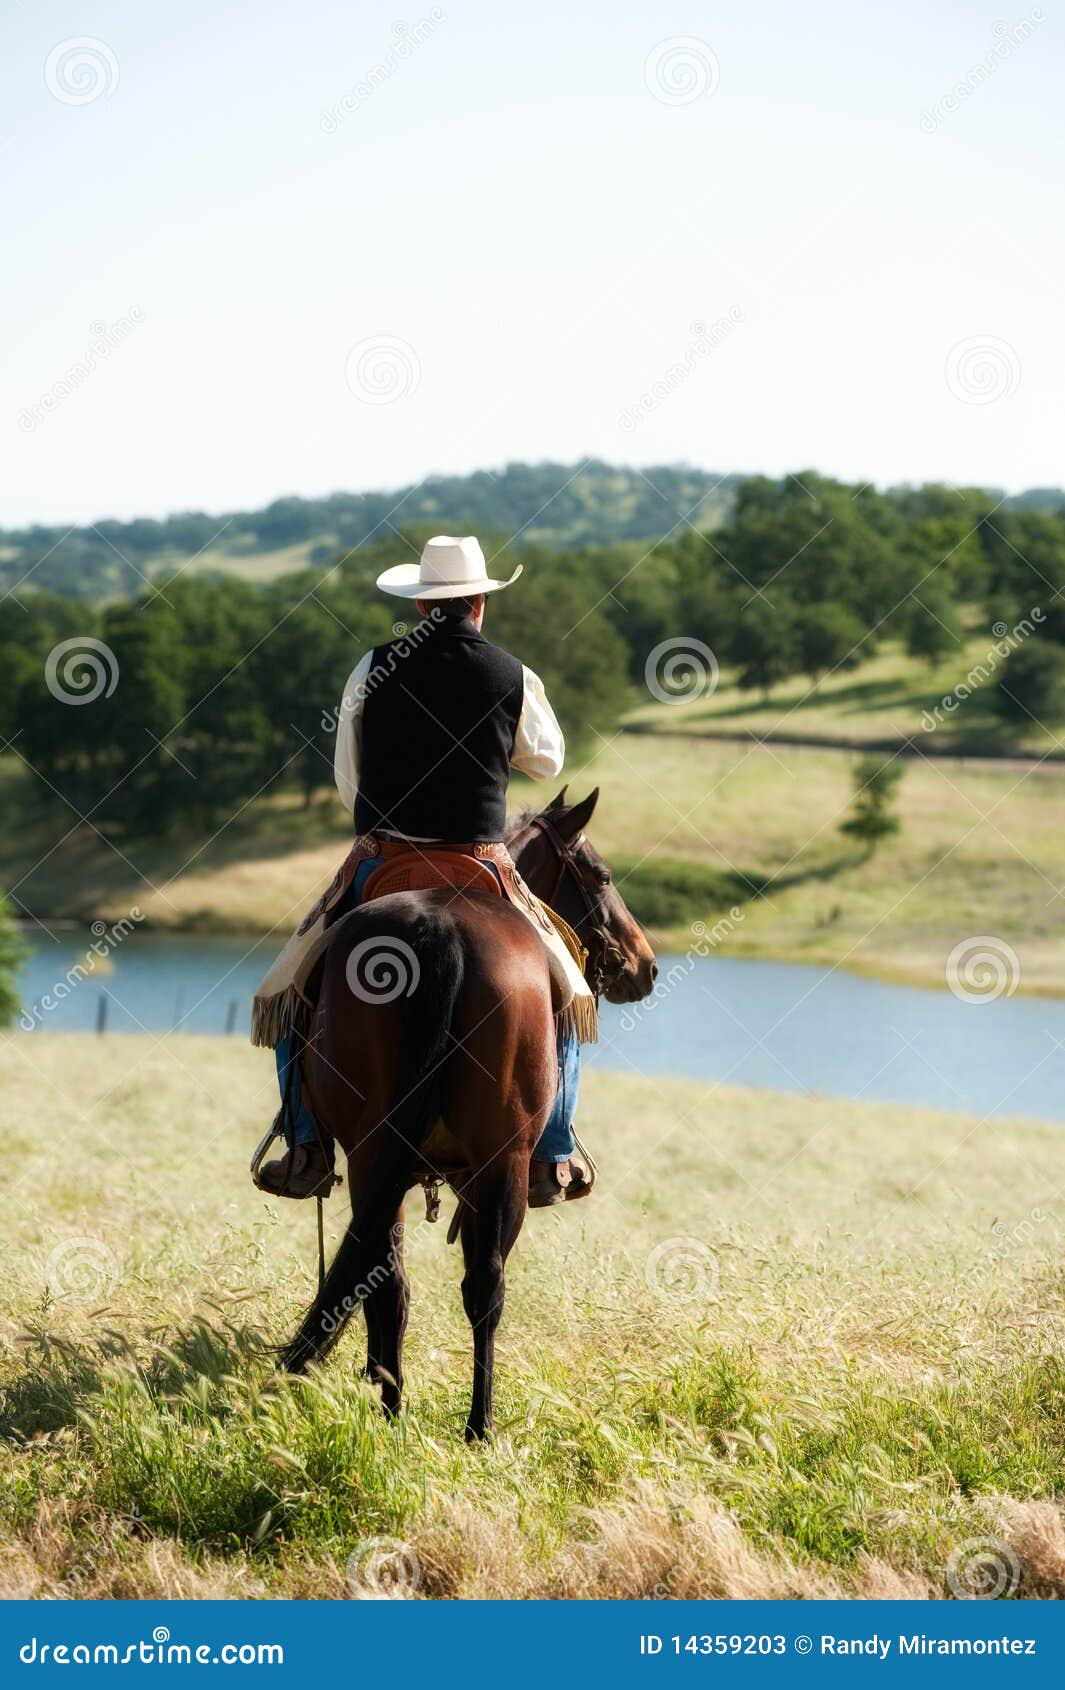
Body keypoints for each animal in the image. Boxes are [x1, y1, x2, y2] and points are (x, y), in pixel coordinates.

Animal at [280, 787, 657, 1439]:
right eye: (603, 874)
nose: (646, 965)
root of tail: (441, 932)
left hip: (374, 1155)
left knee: (387, 1279)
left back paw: (393, 1409)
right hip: (502, 1164)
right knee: (483, 1286)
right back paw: (477, 1425)